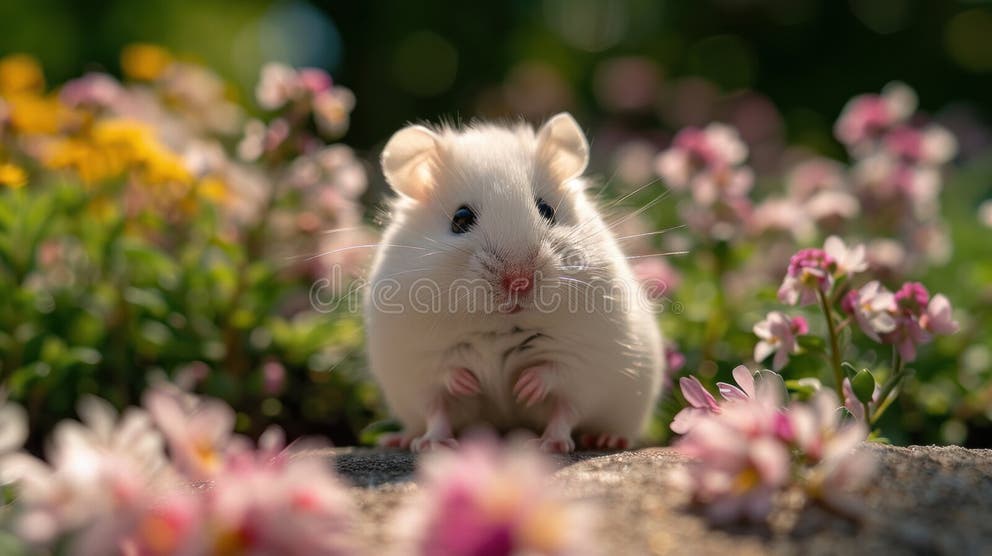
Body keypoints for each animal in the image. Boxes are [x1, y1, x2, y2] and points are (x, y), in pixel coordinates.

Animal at [364, 113, 664, 452]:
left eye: (547, 209)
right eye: (460, 219)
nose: (519, 281)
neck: (499, 323)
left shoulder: (581, 360)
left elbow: (558, 389)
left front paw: (524, 388)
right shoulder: (420, 363)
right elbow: (440, 397)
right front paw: (458, 401)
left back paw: (584, 441)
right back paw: (402, 440)